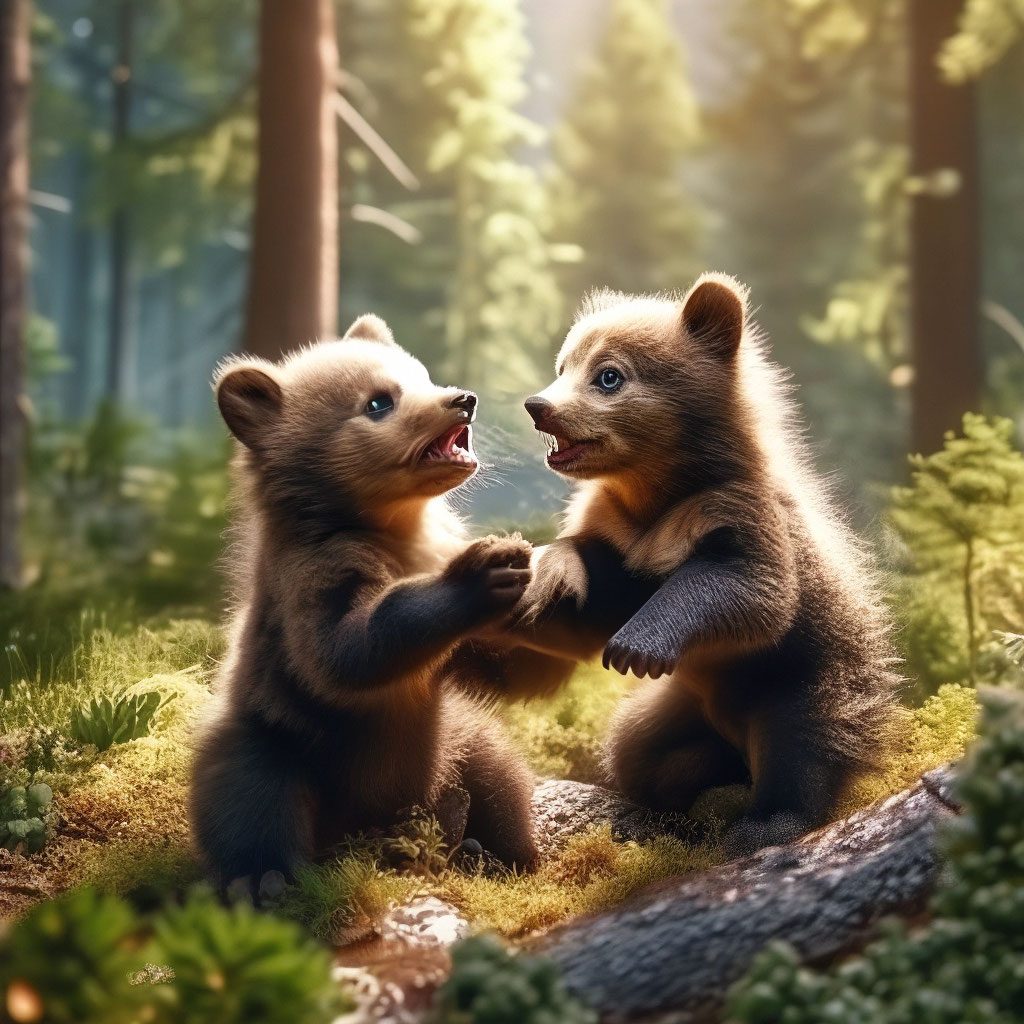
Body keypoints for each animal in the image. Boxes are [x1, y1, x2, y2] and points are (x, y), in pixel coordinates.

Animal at [189, 313, 541, 895]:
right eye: (379, 402)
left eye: (422, 374)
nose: (462, 399)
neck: (396, 529)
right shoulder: (315, 571)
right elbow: (345, 650)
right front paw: (484, 571)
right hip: (281, 737)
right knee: (251, 795)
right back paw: (264, 879)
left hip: (453, 735)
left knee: (498, 776)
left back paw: (492, 851)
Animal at [514, 273, 904, 855]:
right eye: (563, 364)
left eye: (608, 376)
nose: (537, 404)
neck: (655, 495)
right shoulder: (623, 534)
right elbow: (596, 587)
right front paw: (545, 573)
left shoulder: (733, 511)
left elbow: (749, 590)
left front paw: (637, 646)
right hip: (681, 708)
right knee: (638, 751)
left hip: (802, 680)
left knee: (801, 745)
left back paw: (762, 824)